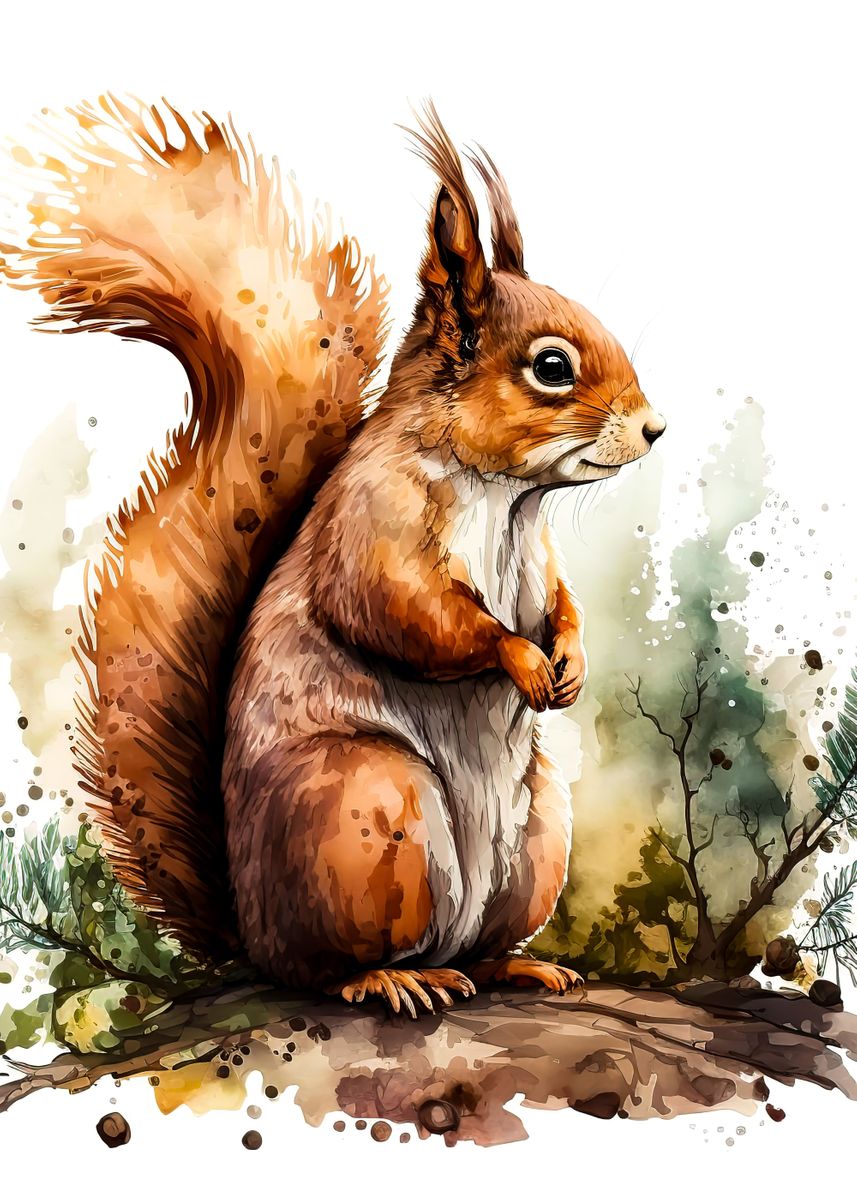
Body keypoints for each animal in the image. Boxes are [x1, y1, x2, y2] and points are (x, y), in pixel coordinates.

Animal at [1, 97, 665, 1015]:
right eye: (550, 367)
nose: (653, 428)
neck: (504, 497)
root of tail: (249, 934)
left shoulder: (540, 557)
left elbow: (560, 602)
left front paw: (568, 659)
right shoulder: (372, 528)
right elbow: (409, 615)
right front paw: (522, 661)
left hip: (536, 836)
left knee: (480, 944)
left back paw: (518, 966)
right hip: (368, 806)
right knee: (322, 971)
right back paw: (390, 978)